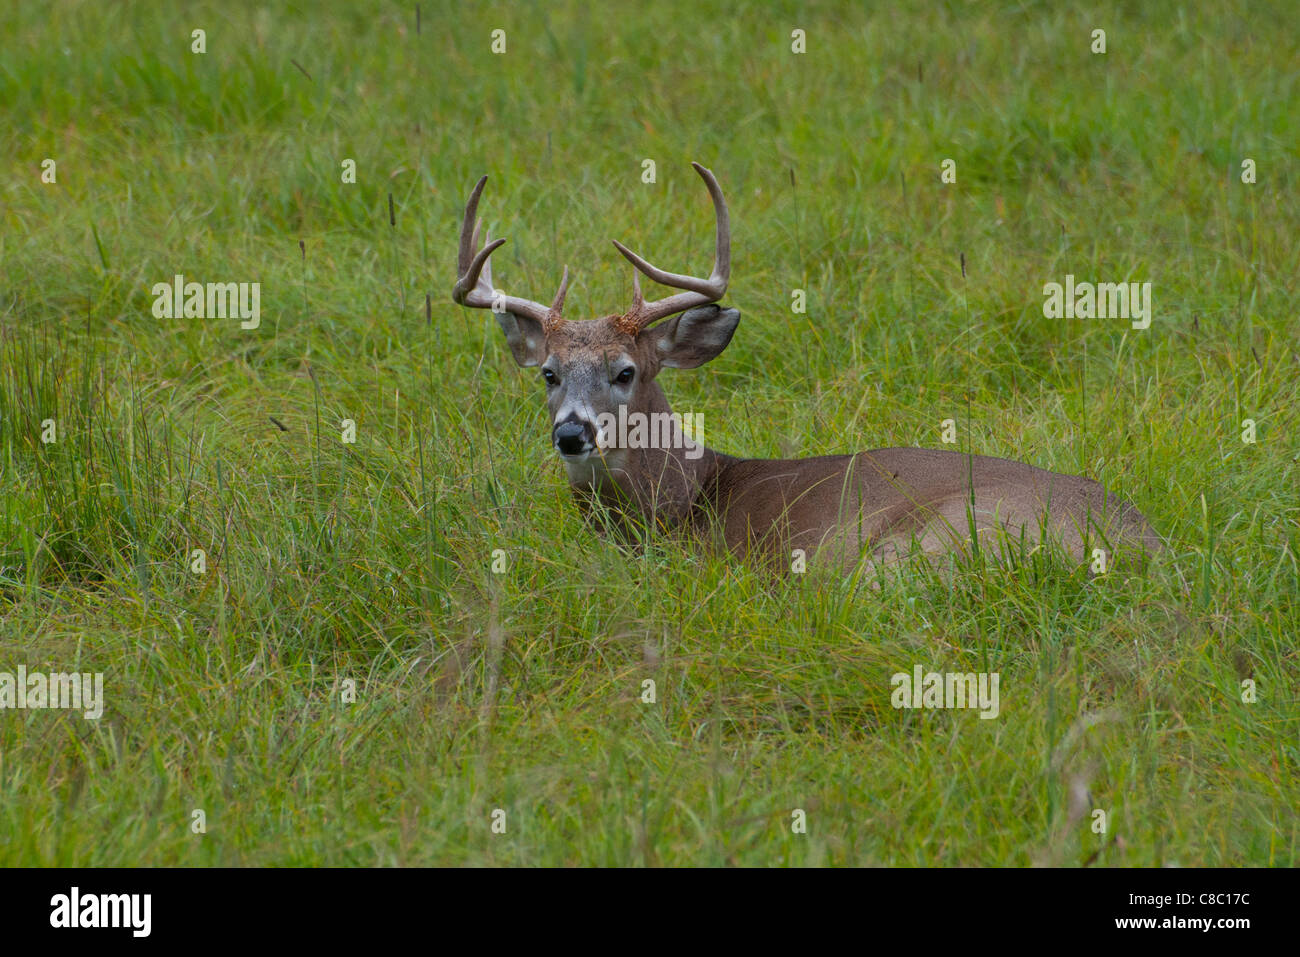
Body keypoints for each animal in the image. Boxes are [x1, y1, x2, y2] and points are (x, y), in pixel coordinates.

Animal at [452, 162, 1162, 577]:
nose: (571, 433)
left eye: (625, 371)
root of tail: (1145, 544)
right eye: (548, 373)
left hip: (924, 542)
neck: (687, 501)